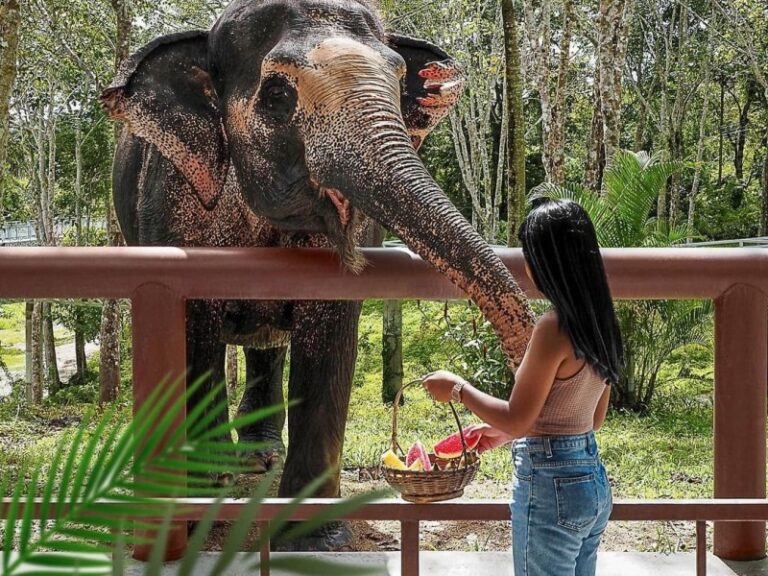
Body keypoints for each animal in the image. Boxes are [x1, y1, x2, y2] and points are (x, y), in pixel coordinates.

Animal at [102, 0, 533, 550]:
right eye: (277, 94)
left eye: (398, 79)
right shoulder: (170, 201)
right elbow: (192, 337)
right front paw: (198, 516)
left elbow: (330, 336)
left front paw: (315, 540)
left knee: (266, 345)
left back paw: (257, 458)